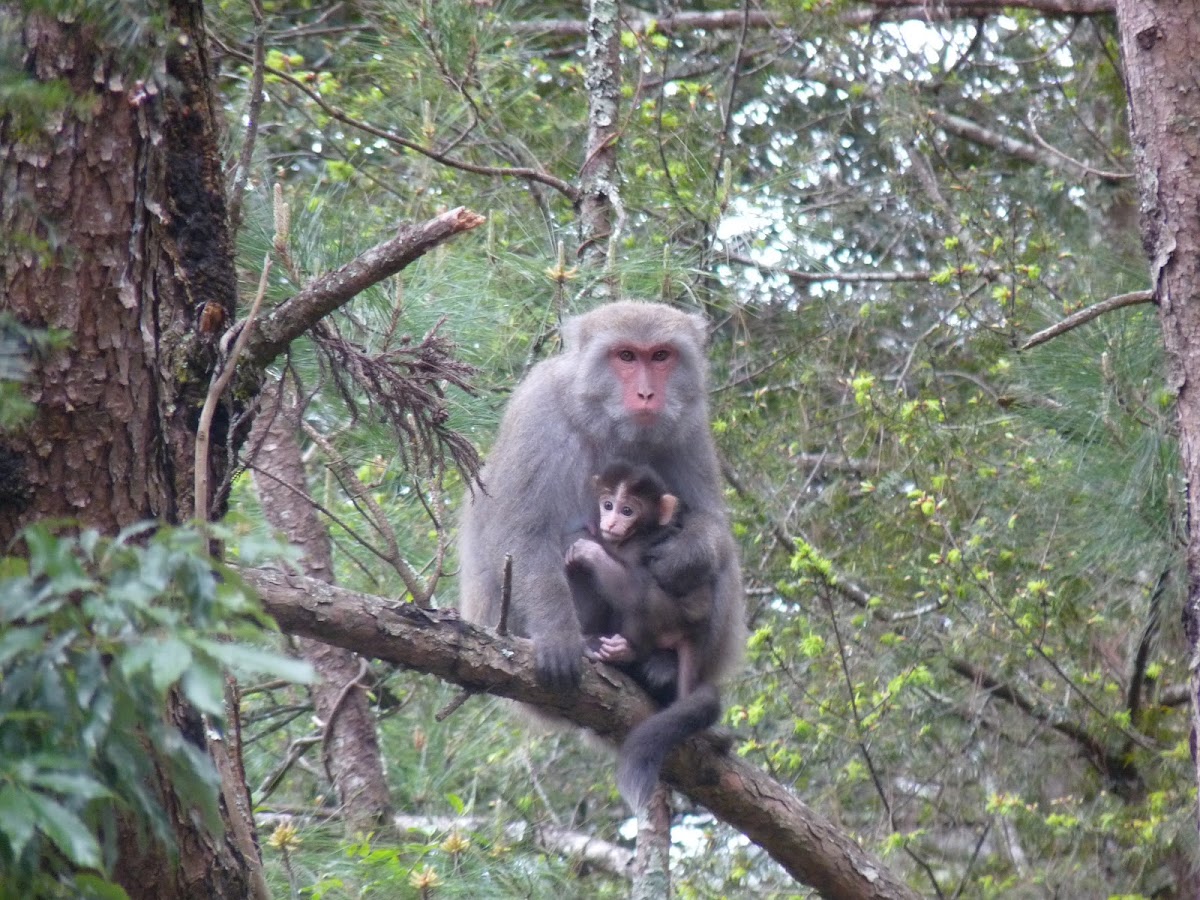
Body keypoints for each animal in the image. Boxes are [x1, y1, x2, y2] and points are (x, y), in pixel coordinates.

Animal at [457, 301, 746, 809]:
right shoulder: (539, 413)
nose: (647, 393)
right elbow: (524, 535)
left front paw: (686, 554)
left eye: (661, 356)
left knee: (719, 568)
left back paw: (660, 671)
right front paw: (558, 637)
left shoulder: (691, 428)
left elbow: (710, 524)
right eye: (626, 356)